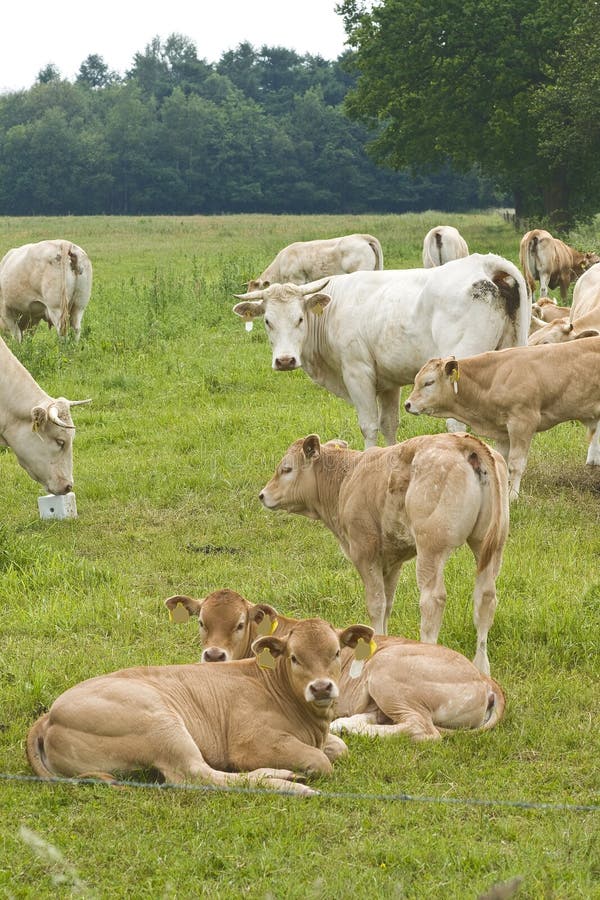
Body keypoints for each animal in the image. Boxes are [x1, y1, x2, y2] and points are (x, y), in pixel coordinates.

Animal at [26, 618, 374, 795]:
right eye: (294, 657)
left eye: (336, 653)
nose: (321, 687)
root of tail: (48, 715)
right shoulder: (251, 742)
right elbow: (321, 761)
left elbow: (340, 748)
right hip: (161, 724)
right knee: (198, 775)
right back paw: (287, 783)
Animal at [165, 590, 506, 741]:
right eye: (201, 622)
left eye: (239, 623)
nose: (213, 655)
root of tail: (486, 680)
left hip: (387, 671)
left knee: (421, 728)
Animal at [233, 253, 530, 448]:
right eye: (268, 321)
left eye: (299, 319)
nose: (285, 360)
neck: (334, 309)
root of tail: (484, 263)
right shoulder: (389, 382)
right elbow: (389, 424)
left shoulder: (357, 373)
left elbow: (369, 425)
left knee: (457, 424)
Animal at [259, 432, 509, 675]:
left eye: (286, 469)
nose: (262, 495)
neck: (347, 478)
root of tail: (460, 440)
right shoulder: (392, 560)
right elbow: (388, 603)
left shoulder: (365, 553)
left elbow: (376, 604)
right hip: (489, 546)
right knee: (486, 598)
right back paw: (482, 667)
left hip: (431, 547)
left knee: (433, 601)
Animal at [405, 338, 600, 499]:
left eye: (429, 382)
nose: (407, 404)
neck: (494, 377)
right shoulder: (503, 430)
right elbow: (501, 462)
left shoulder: (523, 423)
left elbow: (515, 464)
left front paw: (513, 496)